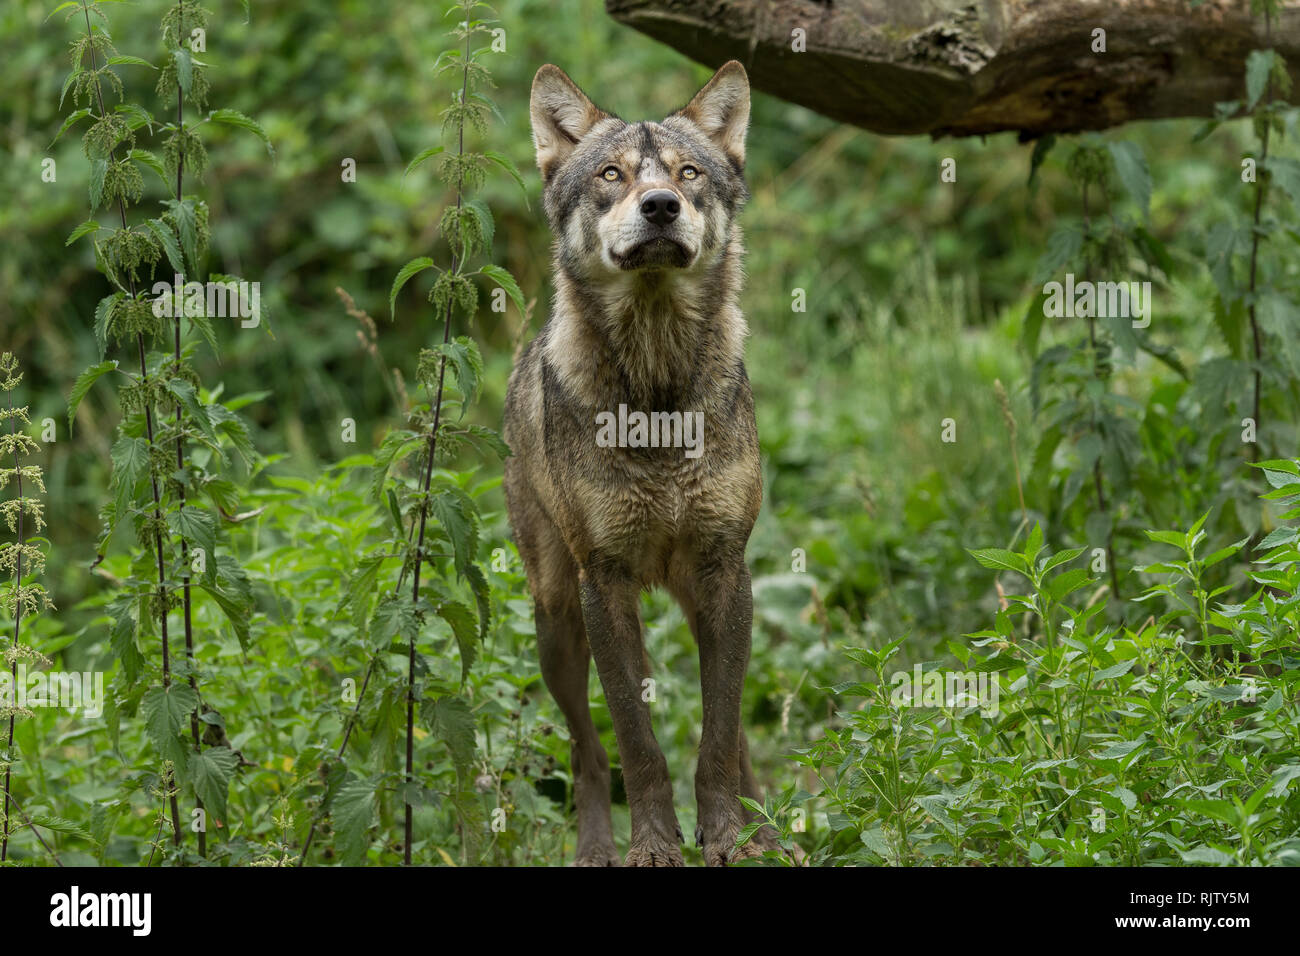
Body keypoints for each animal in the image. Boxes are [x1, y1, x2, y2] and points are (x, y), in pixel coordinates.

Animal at [502, 61, 769, 866]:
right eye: (611, 175)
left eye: (688, 174)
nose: (659, 206)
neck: (656, 398)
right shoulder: (607, 584)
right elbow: (637, 746)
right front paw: (653, 845)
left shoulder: (725, 571)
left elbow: (717, 739)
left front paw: (730, 838)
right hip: (558, 620)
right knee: (587, 750)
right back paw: (595, 848)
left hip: (697, 603)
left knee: (737, 735)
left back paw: (770, 832)